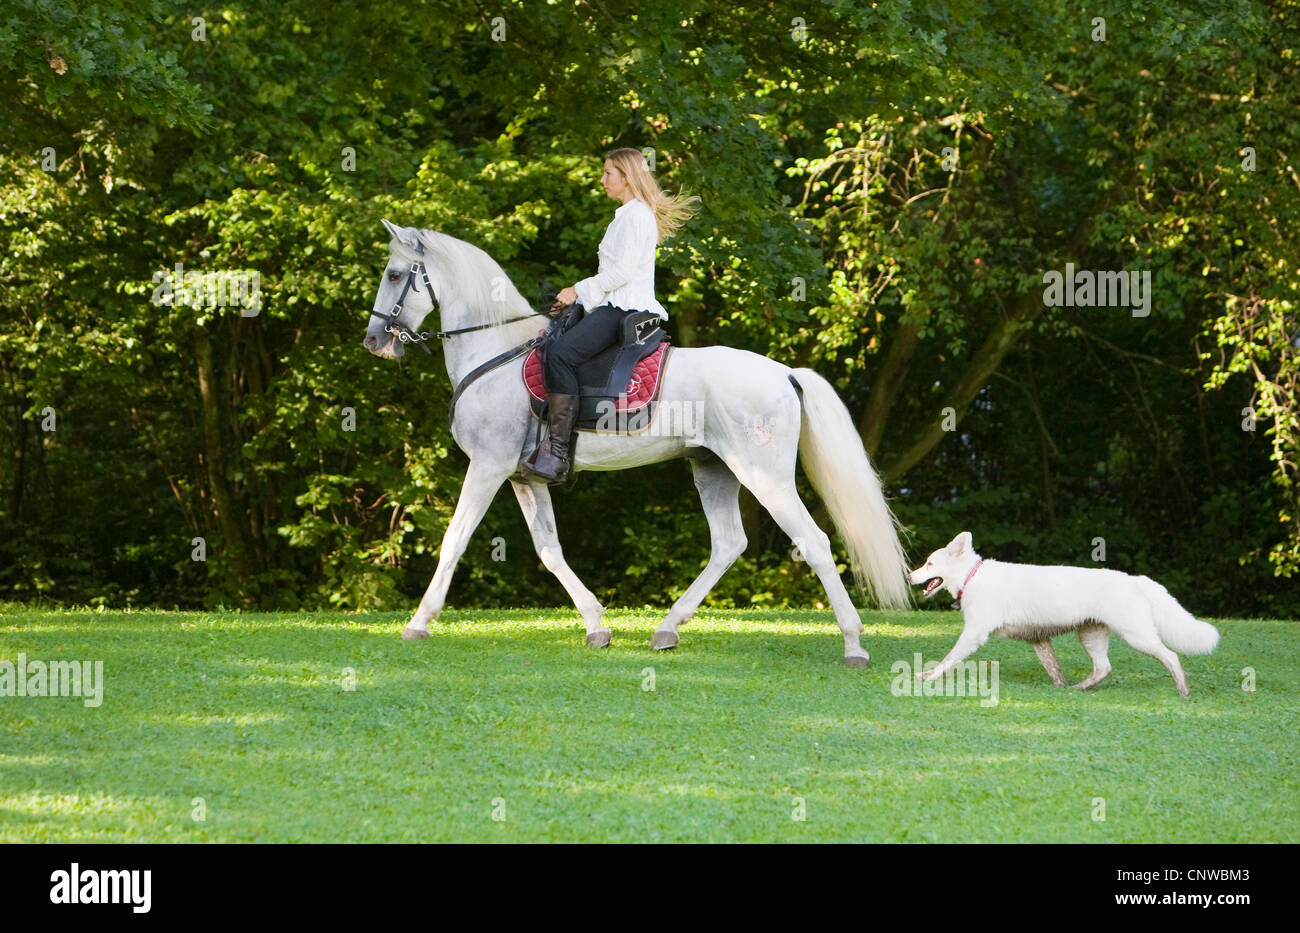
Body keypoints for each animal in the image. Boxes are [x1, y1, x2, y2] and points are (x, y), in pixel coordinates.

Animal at [363, 219, 911, 664]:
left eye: (393, 274)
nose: (374, 341)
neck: (496, 350)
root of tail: (784, 372)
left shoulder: (488, 466)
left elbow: (454, 539)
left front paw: (419, 621)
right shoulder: (523, 477)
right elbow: (550, 550)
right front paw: (596, 626)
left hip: (765, 476)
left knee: (813, 543)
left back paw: (854, 644)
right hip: (713, 470)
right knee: (728, 543)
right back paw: (668, 628)